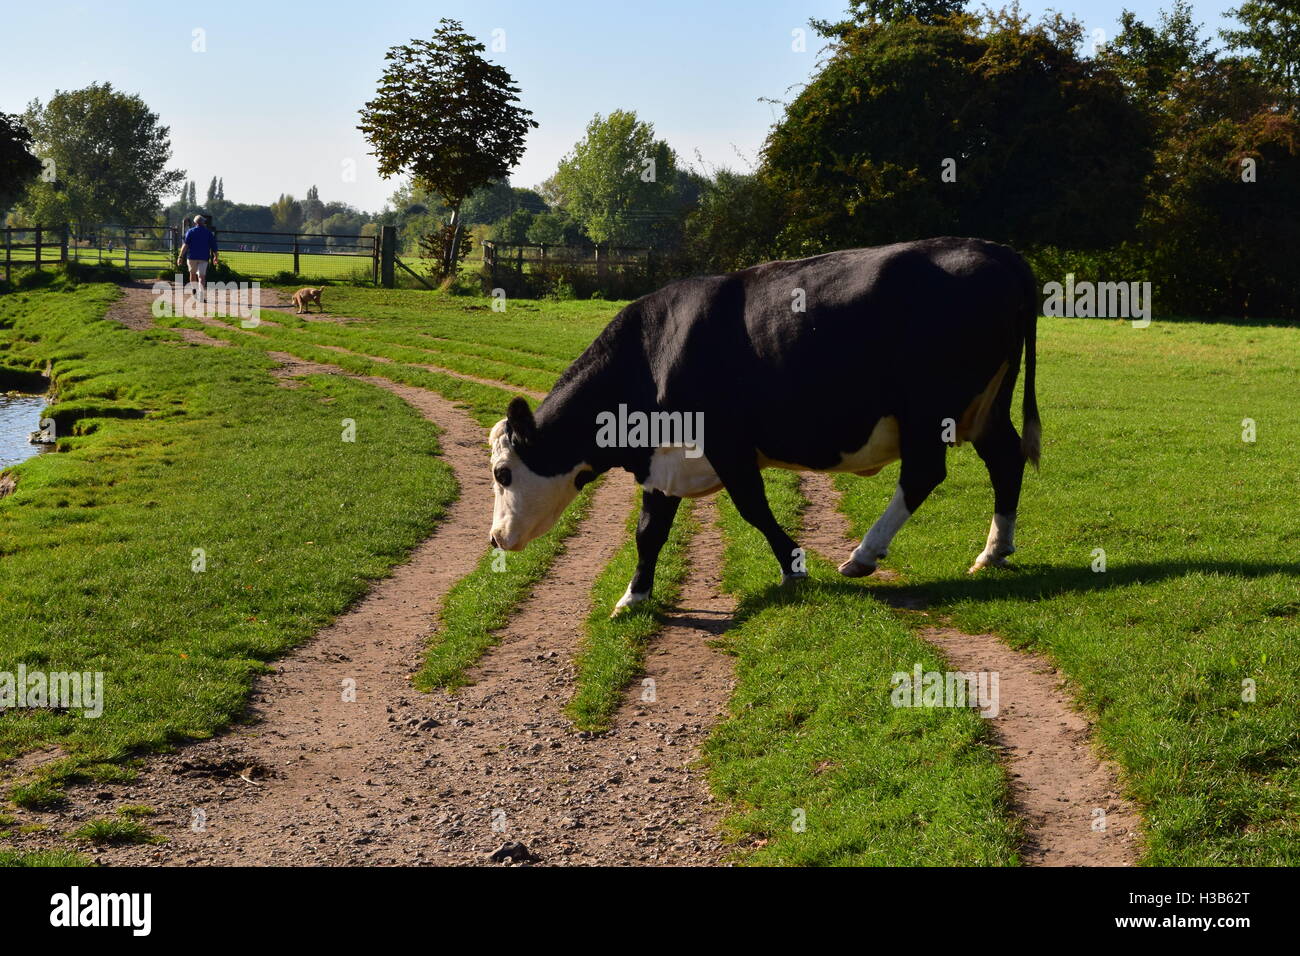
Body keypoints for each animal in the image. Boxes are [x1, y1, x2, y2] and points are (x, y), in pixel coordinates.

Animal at [489, 237, 1041, 615]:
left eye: (502, 473)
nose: (495, 539)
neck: (654, 351)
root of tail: (992, 249)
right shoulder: (663, 460)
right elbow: (649, 532)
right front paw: (634, 596)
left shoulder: (725, 443)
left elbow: (753, 508)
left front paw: (794, 567)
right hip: (985, 406)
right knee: (1005, 458)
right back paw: (994, 551)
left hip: (928, 408)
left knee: (924, 472)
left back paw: (863, 555)